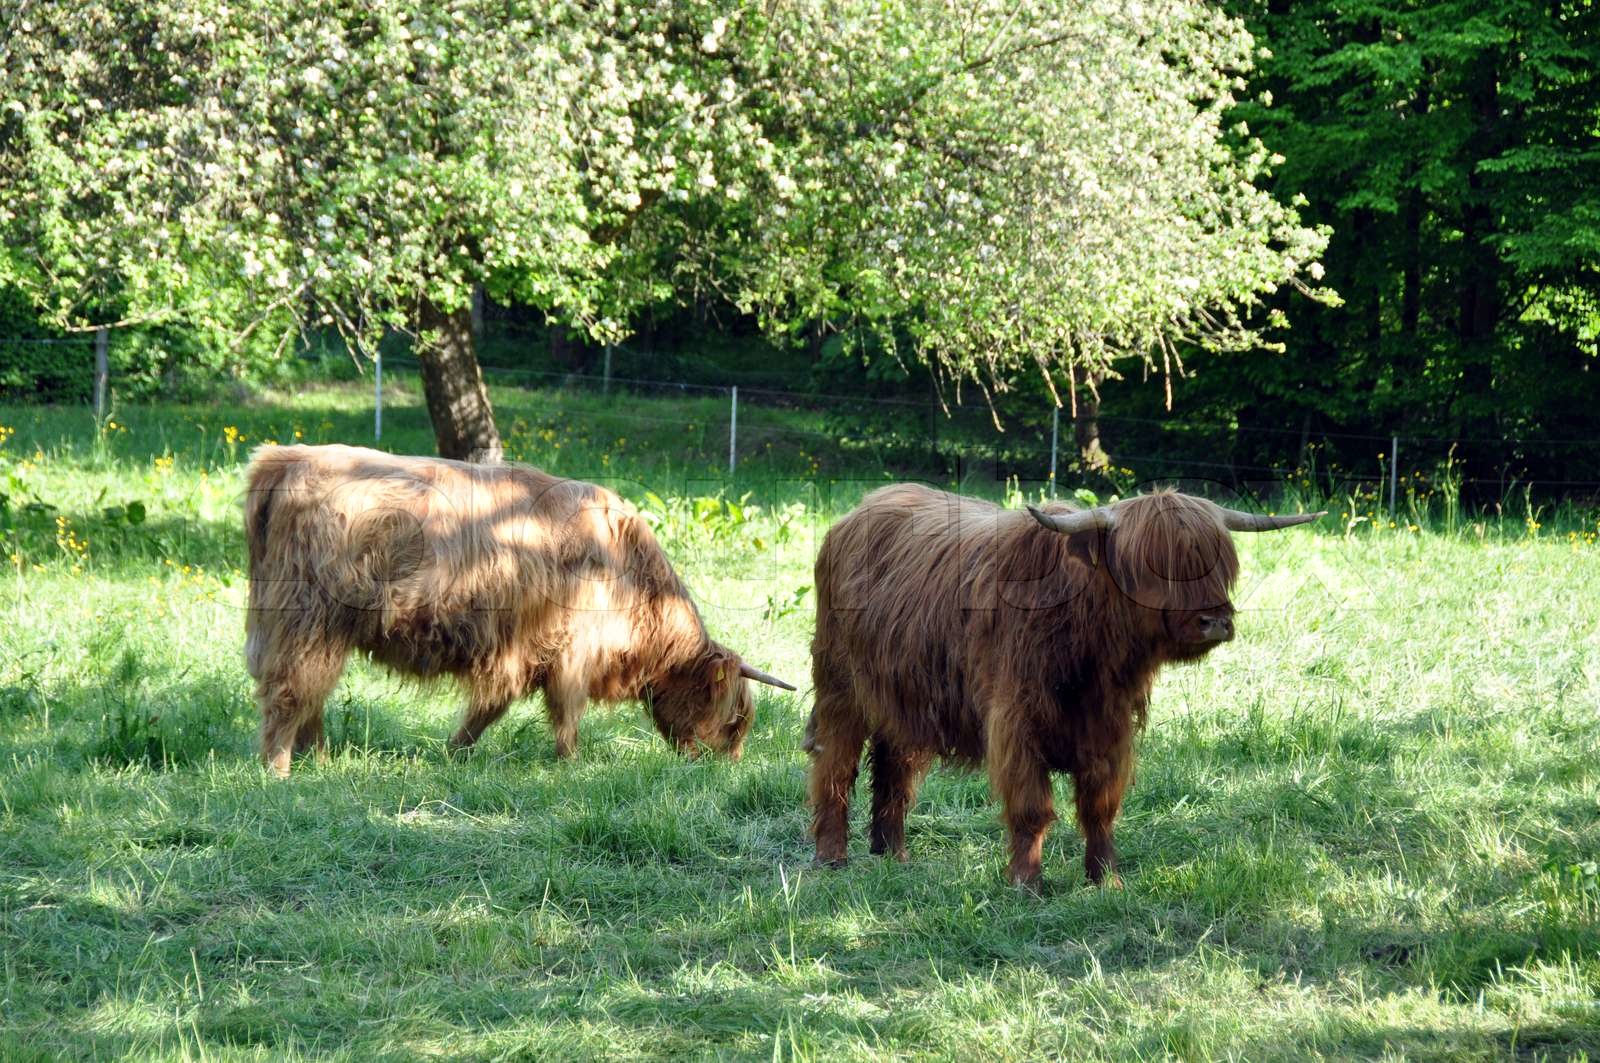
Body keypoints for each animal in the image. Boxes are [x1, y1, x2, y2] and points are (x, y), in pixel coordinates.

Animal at [243, 444, 793, 777]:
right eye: (734, 720)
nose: (725, 768)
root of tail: (289, 458)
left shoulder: (524, 653)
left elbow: (491, 708)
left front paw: (454, 752)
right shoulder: (573, 651)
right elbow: (564, 714)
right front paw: (571, 766)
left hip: (315, 629)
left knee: (311, 693)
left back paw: (321, 760)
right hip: (308, 621)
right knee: (291, 691)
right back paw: (280, 770)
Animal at [805, 484, 1321, 888]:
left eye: (1221, 563)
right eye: (1153, 563)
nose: (1214, 621)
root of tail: (858, 511)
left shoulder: (1109, 725)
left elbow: (1100, 803)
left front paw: (1105, 879)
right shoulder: (1015, 719)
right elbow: (1032, 806)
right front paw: (1026, 883)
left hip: (904, 696)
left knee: (895, 768)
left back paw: (891, 853)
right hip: (840, 684)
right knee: (836, 764)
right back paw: (832, 857)